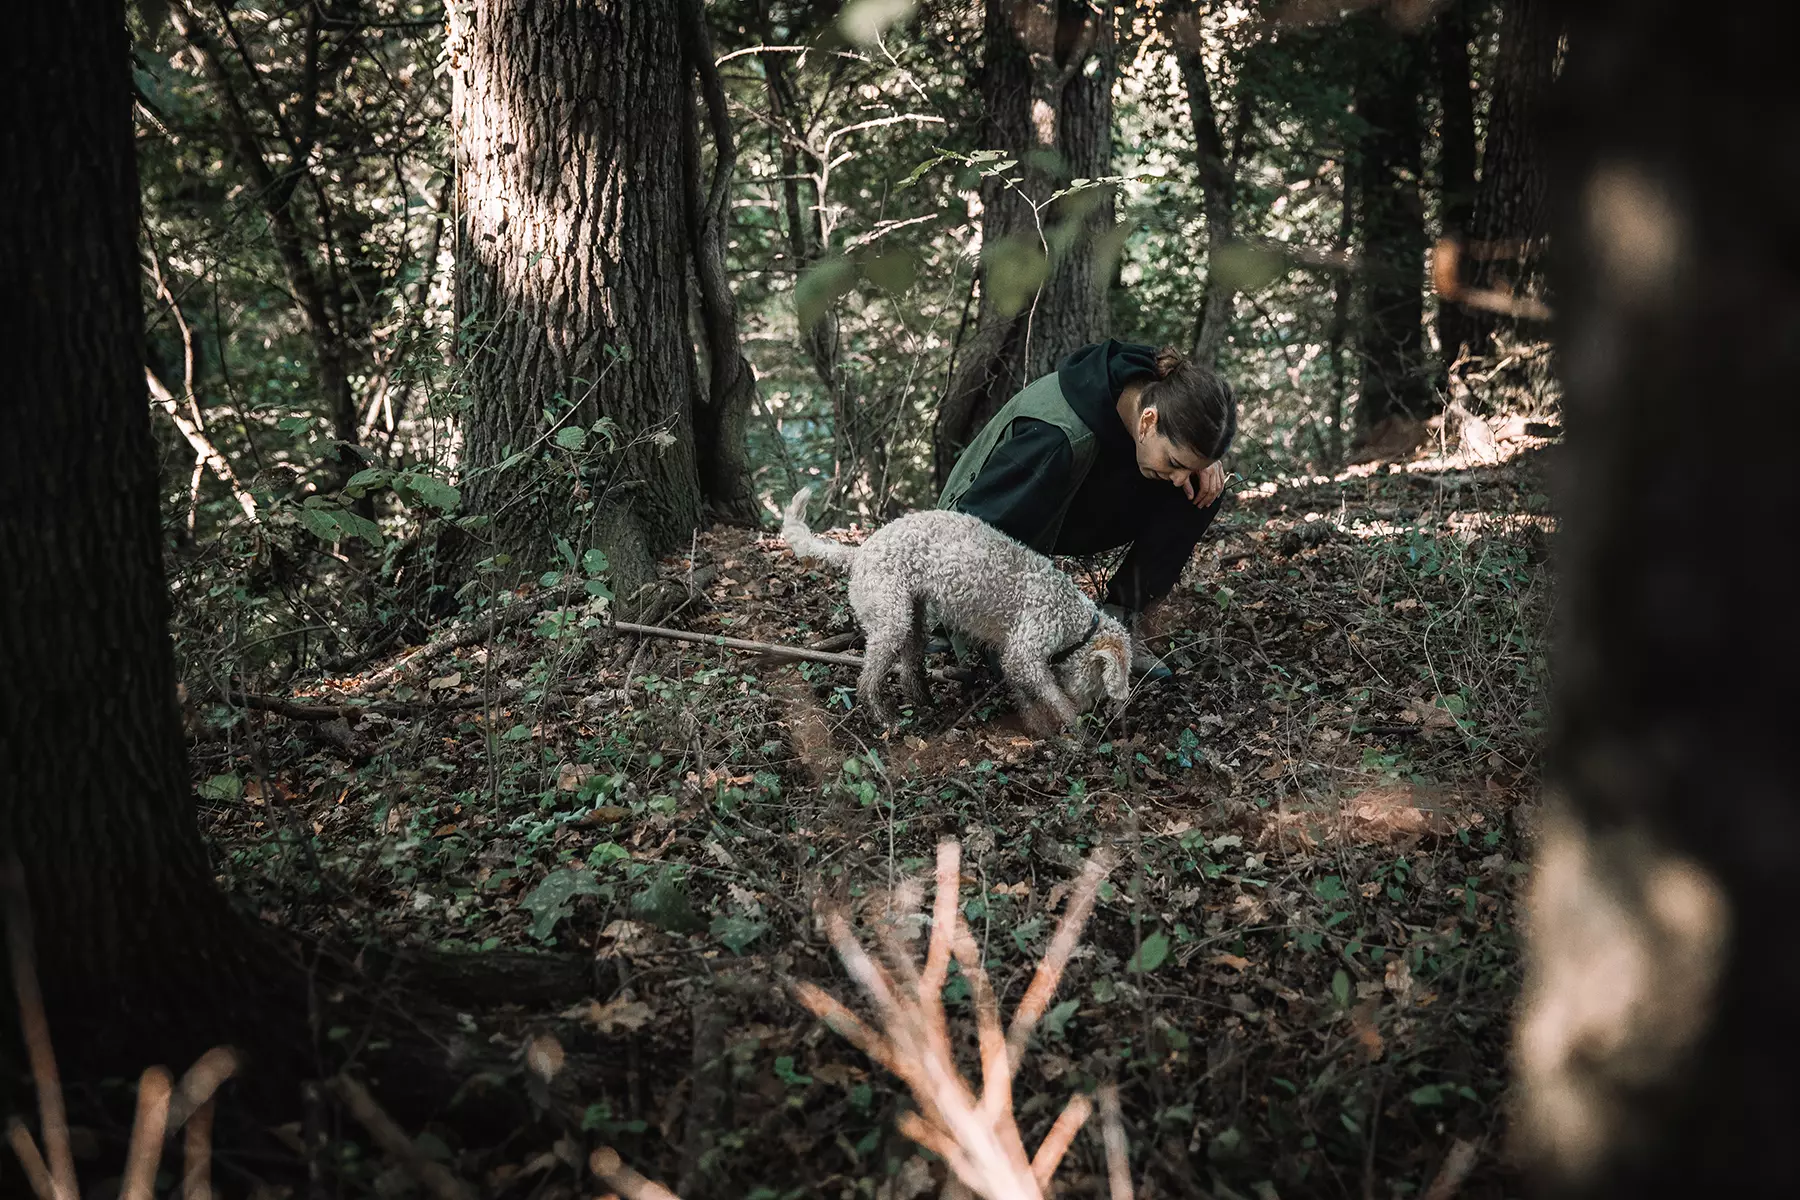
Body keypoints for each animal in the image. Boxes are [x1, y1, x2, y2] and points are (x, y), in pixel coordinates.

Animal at [781, 489, 1130, 734]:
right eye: (1100, 685)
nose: (1092, 710)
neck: (1072, 618)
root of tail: (859, 552)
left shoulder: (1012, 656)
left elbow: (1025, 696)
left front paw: (1039, 727)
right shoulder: (1024, 655)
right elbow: (1052, 694)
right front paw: (1074, 728)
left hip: (914, 618)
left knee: (909, 670)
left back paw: (925, 705)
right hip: (891, 622)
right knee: (868, 682)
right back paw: (886, 719)